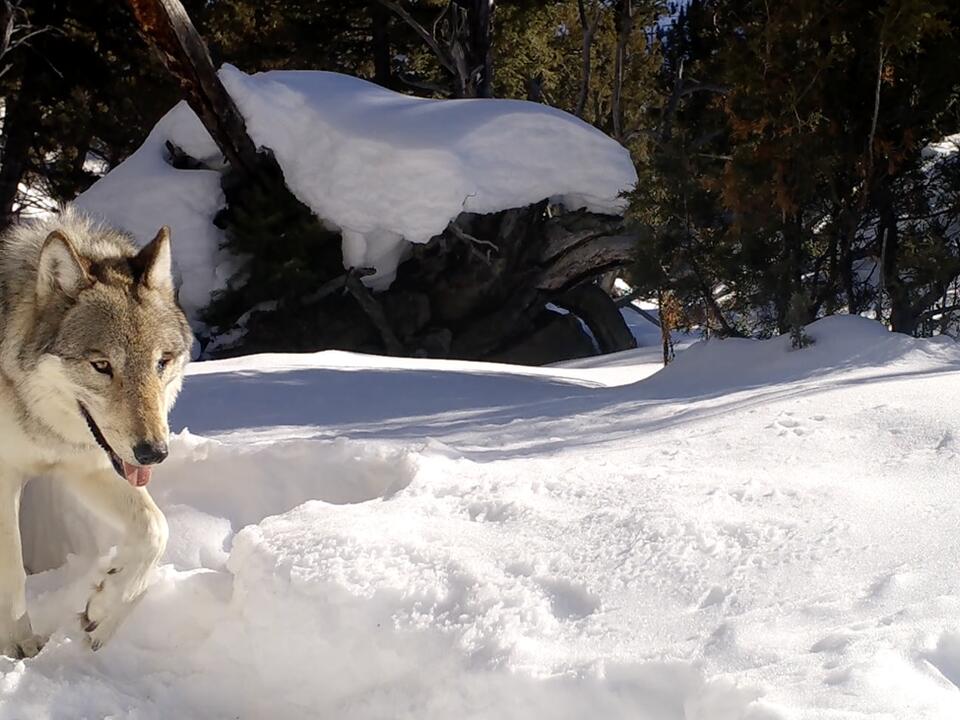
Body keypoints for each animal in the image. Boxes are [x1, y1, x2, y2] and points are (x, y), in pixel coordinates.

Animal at [0, 207, 192, 657]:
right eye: (102, 365)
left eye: (161, 362)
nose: (154, 453)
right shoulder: (4, 476)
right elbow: (12, 571)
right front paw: (19, 647)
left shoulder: (87, 466)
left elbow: (156, 528)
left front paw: (106, 610)